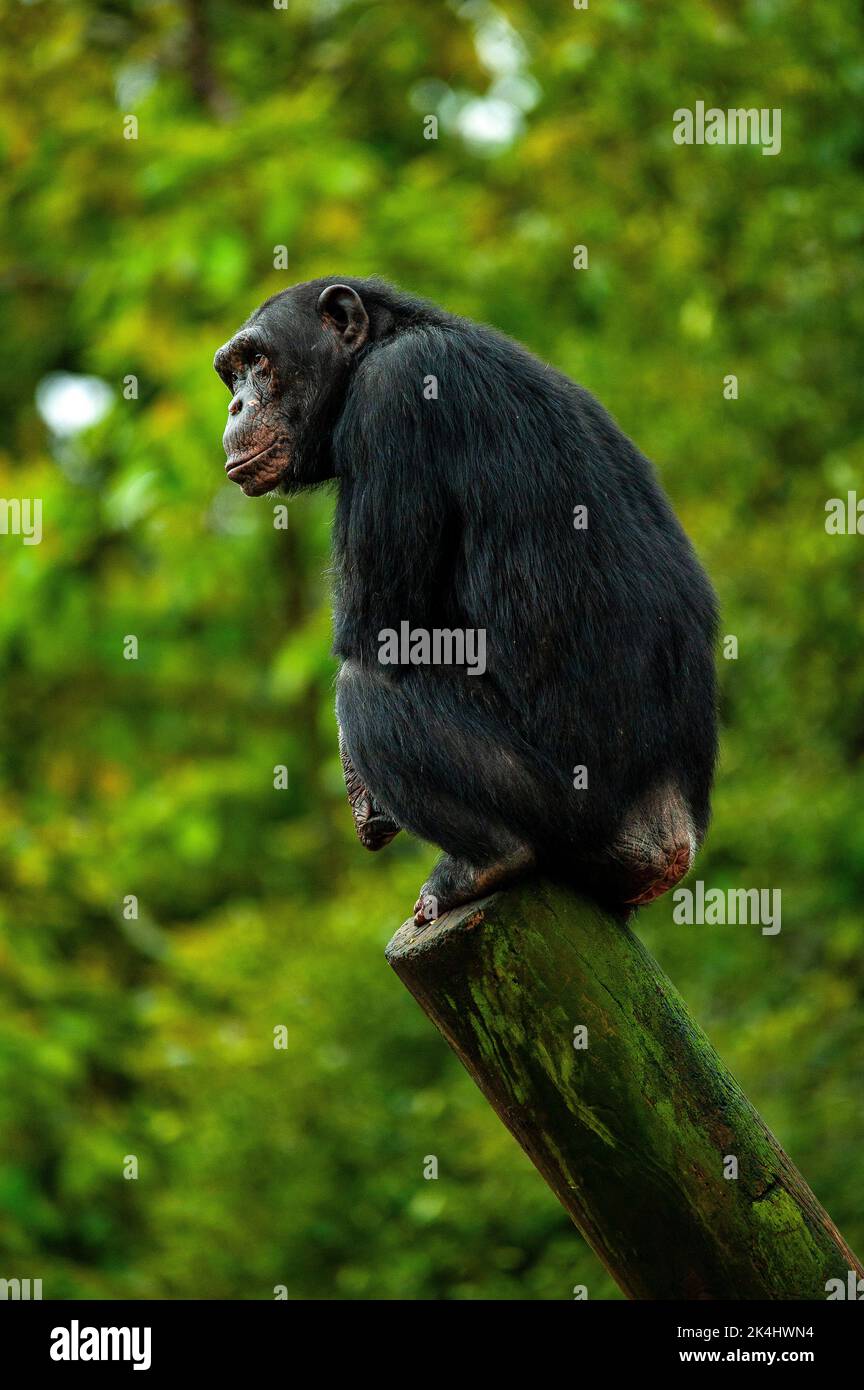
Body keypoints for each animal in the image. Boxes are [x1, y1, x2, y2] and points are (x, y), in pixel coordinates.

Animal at [214, 277, 718, 924]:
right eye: (232, 374)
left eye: (258, 361)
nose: (236, 406)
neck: (381, 344)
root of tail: (668, 841)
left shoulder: (394, 395)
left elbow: (379, 632)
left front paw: (362, 793)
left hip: (568, 810)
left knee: (366, 689)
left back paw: (482, 864)